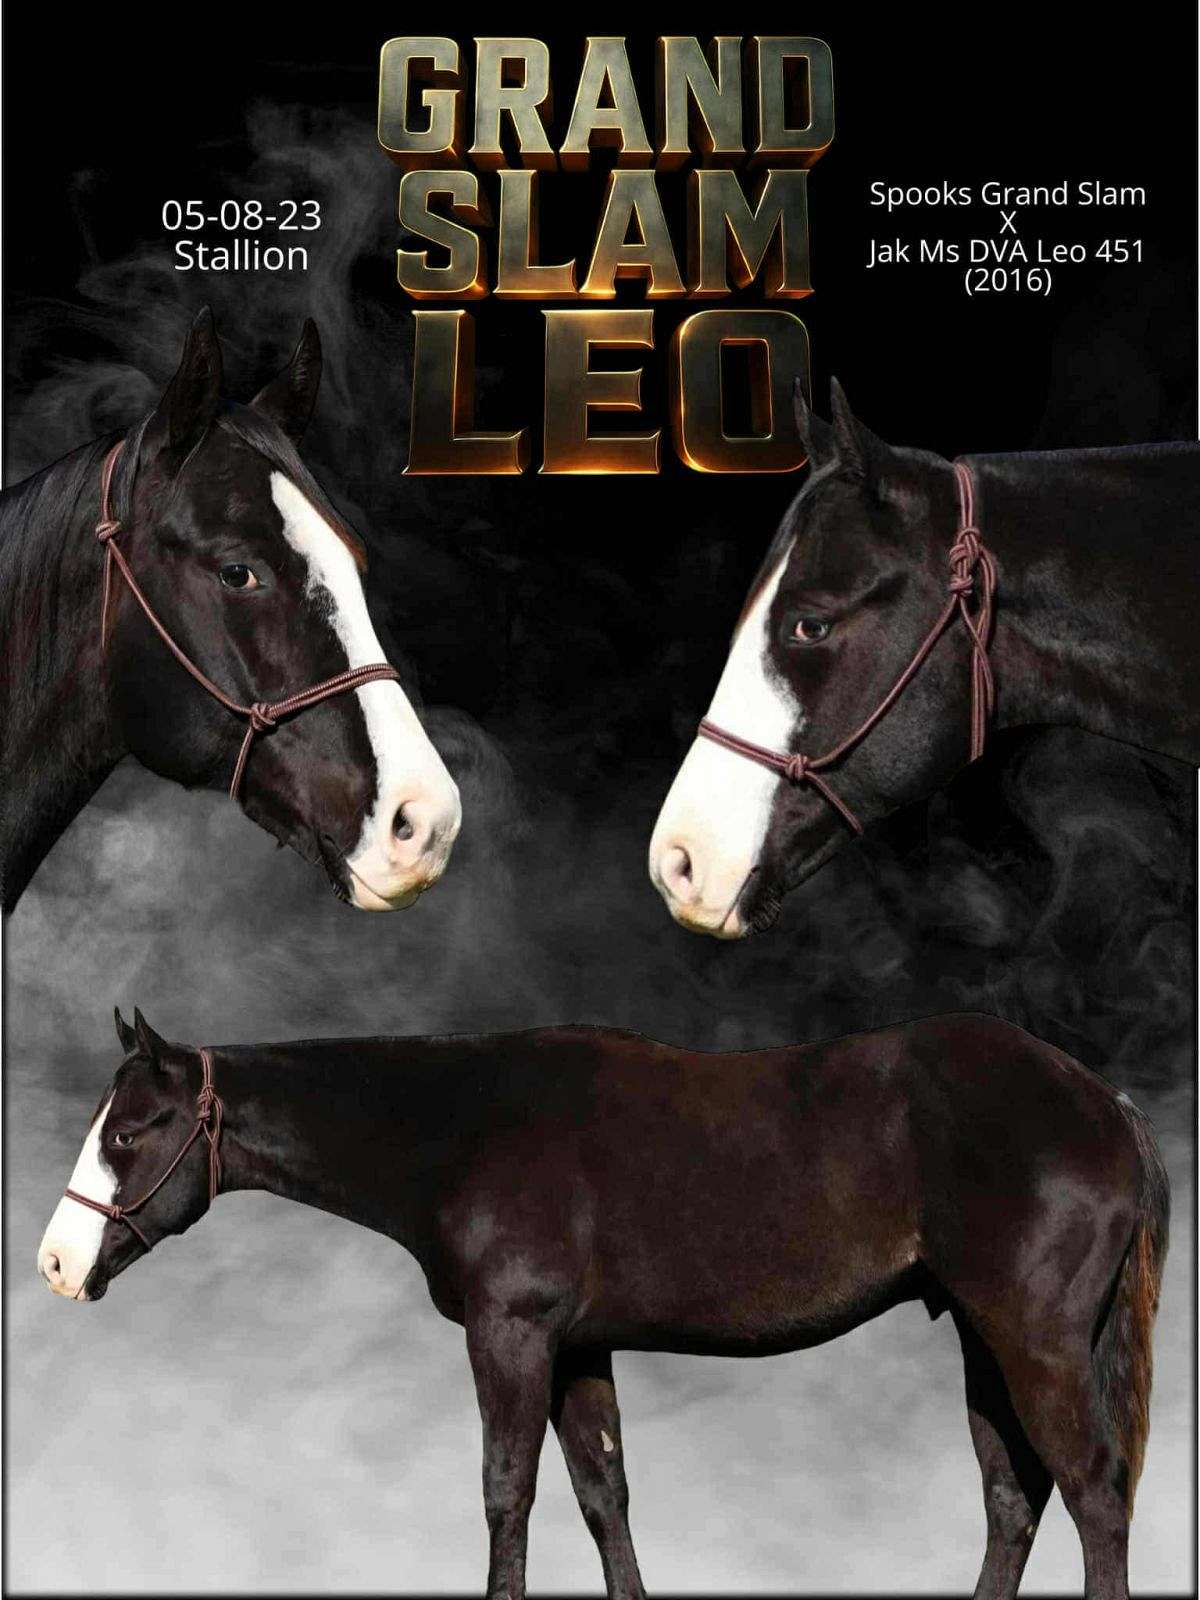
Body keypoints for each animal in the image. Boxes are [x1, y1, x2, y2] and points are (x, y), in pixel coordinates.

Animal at [39, 1009, 1168, 1600]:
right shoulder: (579, 1350)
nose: (54, 1262)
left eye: (130, 1130)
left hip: (1037, 1340)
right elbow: (603, 1496)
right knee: (1015, 1497)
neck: (461, 1130)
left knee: (1094, 1491)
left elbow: (507, 1490)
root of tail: (1104, 1104)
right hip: (984, 1337)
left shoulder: (513, 1334)